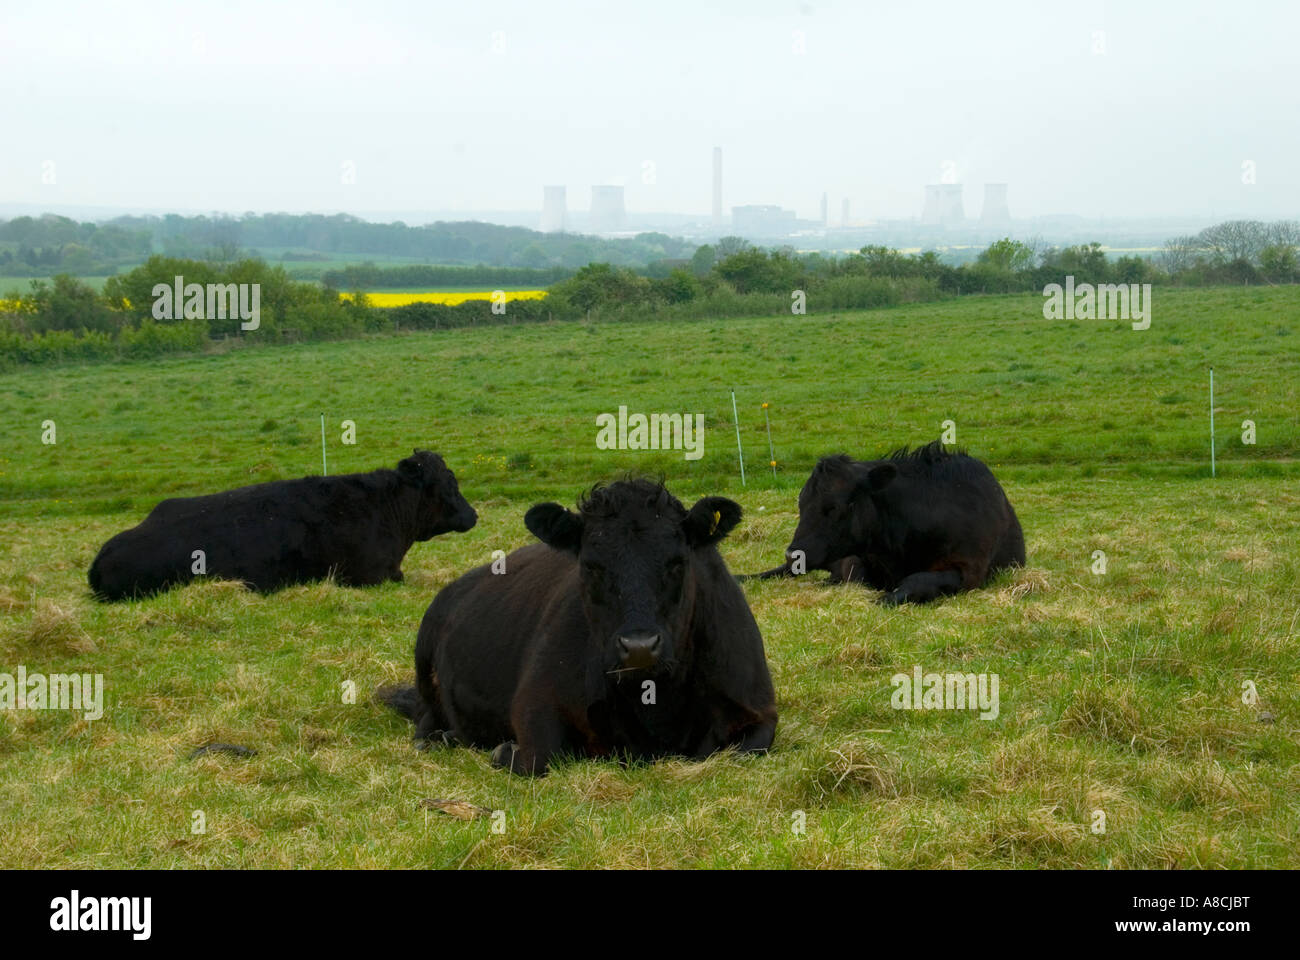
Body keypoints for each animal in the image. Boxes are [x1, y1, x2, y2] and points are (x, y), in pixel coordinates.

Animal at [378, 478, 778, 776]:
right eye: (591, 565)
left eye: (678, 562)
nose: (638, 647)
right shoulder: (535, 701)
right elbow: (540, 757)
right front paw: (503, 751)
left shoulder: (759, 709)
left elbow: (749, 747)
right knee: (425, 717)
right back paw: (439, 737)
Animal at [748, 441, 1024, 604]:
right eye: (801, 502)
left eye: (833, 507)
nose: (792, 554)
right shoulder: (858, 559)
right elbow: (858, 577)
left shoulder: (969, 569)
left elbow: (914, 582)